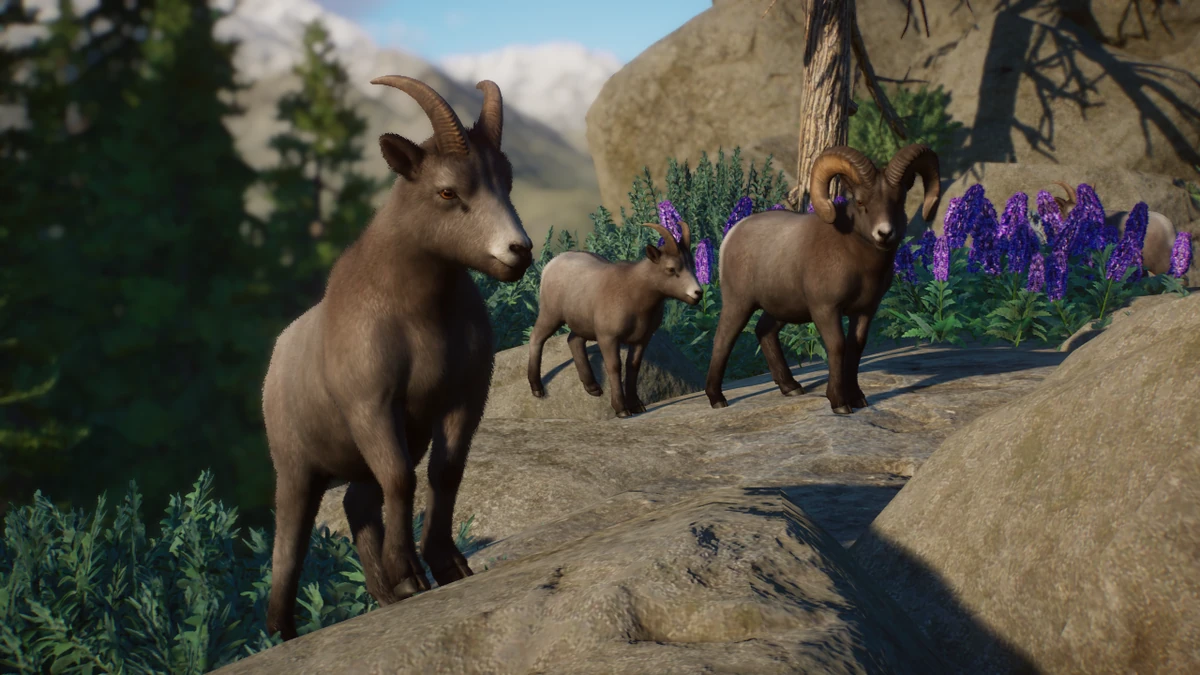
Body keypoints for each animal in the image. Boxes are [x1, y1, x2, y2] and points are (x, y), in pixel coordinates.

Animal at [259, 75, 533, 641]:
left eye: (507, 181)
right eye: (447, 191)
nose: (518, 251)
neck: (416, 317)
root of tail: (274, 361)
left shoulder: (459, 401)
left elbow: (444, 474)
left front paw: (445, 568)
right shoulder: (372, 407)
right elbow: (402, 479)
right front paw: (411, 575)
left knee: (357, 503)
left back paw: (382, 594)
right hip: (295, 466)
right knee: (290, 535)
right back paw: (282, 630)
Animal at [526, 222, 703, 418]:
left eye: (692, 265)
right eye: (671, 269)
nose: (697, 293)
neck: (635, 295)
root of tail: (551, 264)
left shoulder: (641, 339)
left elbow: (633, 367)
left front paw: (637, 406)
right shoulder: (608, 337)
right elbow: (614, 367)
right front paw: (622, 409)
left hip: (582, 323)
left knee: (573, 340)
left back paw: (593, 388)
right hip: (551, 314)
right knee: (537, 338)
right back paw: (537, 389)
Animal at [705, 143, 941, 414]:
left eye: (899, 200)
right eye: (860, 201)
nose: (884, 233)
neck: (858, 260)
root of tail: (732, 234)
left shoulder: (865, 311)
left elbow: (855, 348)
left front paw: (858, 398)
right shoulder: (825, 309)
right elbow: (837, 346)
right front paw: (839, 403)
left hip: (779, 308)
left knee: (764, 331)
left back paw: (791, 387)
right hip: (739, 303)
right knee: (723, 340)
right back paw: (717, 399)